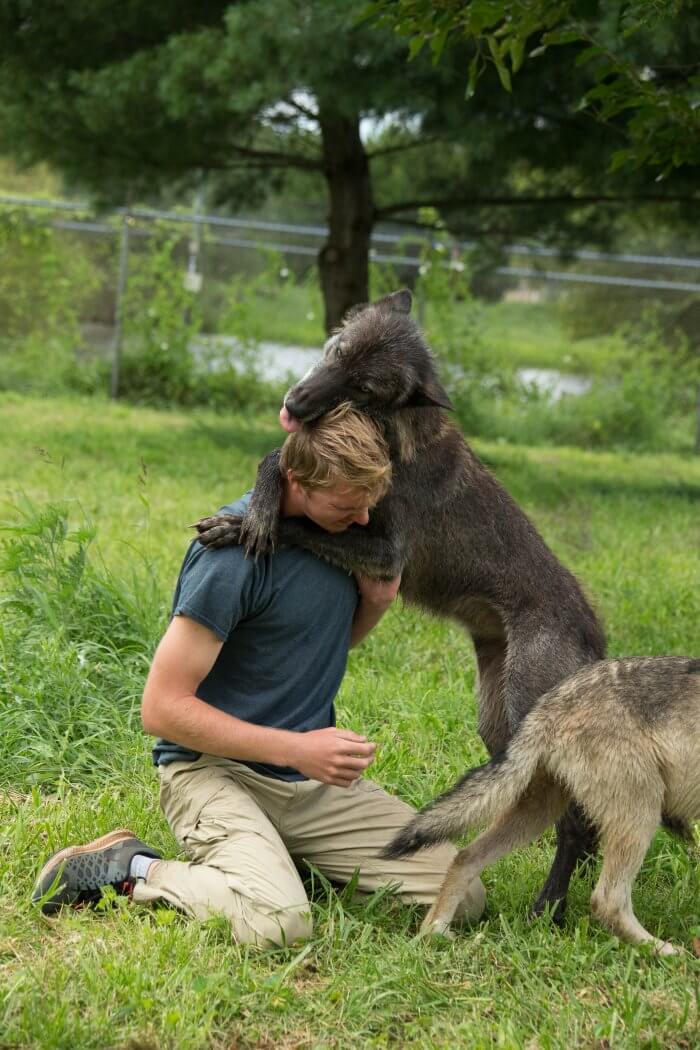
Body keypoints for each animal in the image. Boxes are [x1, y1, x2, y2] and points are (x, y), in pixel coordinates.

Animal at [195, 288, 607, 919]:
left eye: (364, 387)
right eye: (337, 352)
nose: (294, 400)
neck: (395, 436)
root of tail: (594, 634)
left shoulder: (385, 555)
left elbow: (298, 523)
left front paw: (247, 523)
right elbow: (273, 458)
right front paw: (256, 506)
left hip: (524, 722)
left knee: (572, 822)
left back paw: (551, 906)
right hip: (499, 729)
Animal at [383, 657, 700, 955]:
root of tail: (550, 703)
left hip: (538, 813)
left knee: (465, 857)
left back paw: (436, 932)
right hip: (640, 812)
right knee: (607, 900)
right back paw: (667, 952)